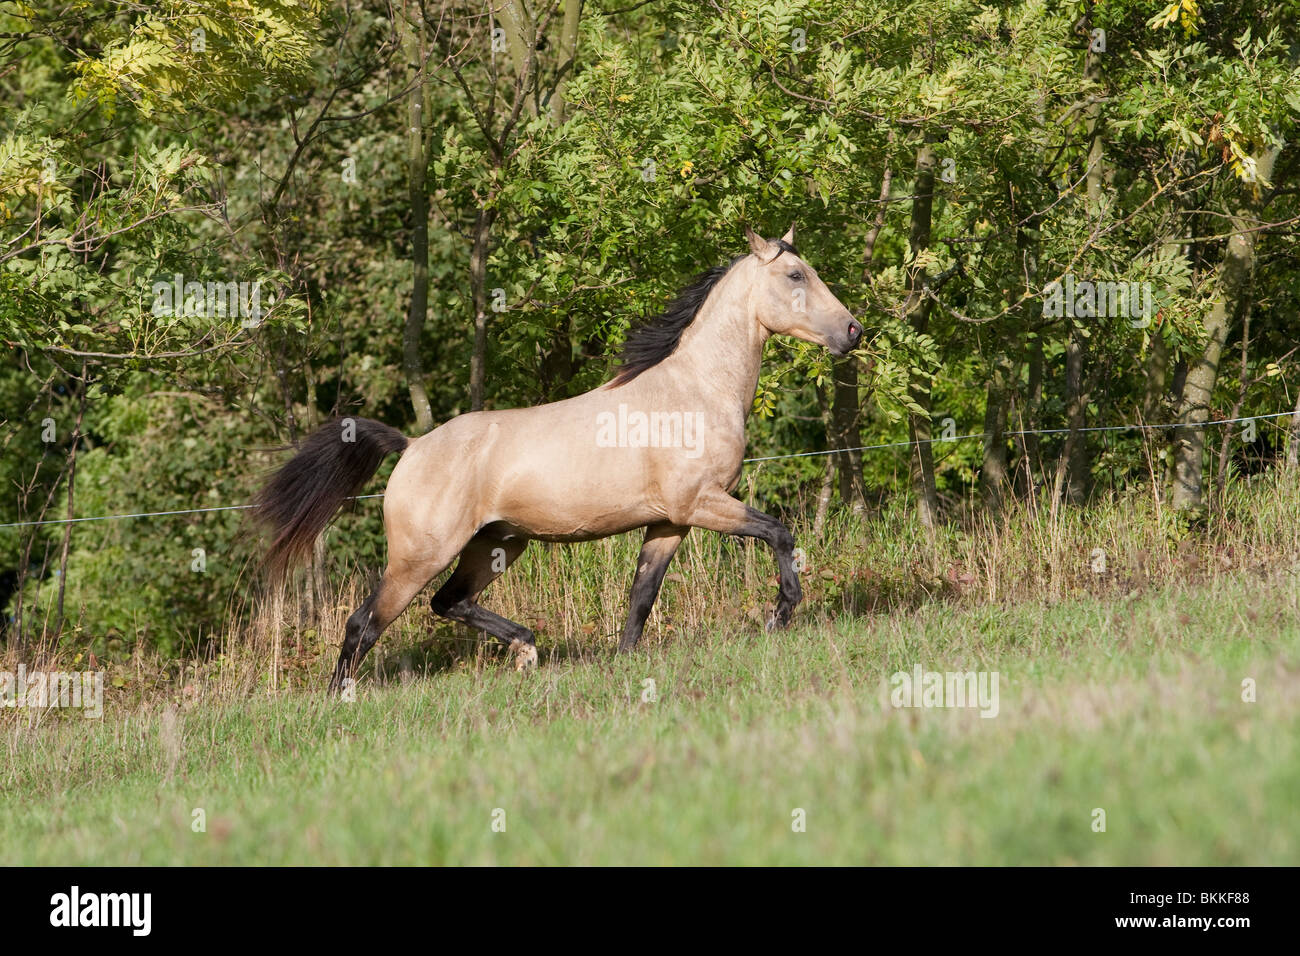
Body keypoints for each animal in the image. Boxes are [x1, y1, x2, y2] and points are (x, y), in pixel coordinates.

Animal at [255, 226, 861, 691]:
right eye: (796, 275)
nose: (853, 331)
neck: (694, 391)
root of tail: (412, 447)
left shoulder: (669, 522)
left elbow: (640, 599)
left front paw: (625, 663)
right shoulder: (702, 503)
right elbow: (780, 533)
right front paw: (781, 614)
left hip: (496, 544)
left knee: (448, 603)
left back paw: (526, 647)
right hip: (419, 557)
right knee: (364, 623)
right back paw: (340, 700)